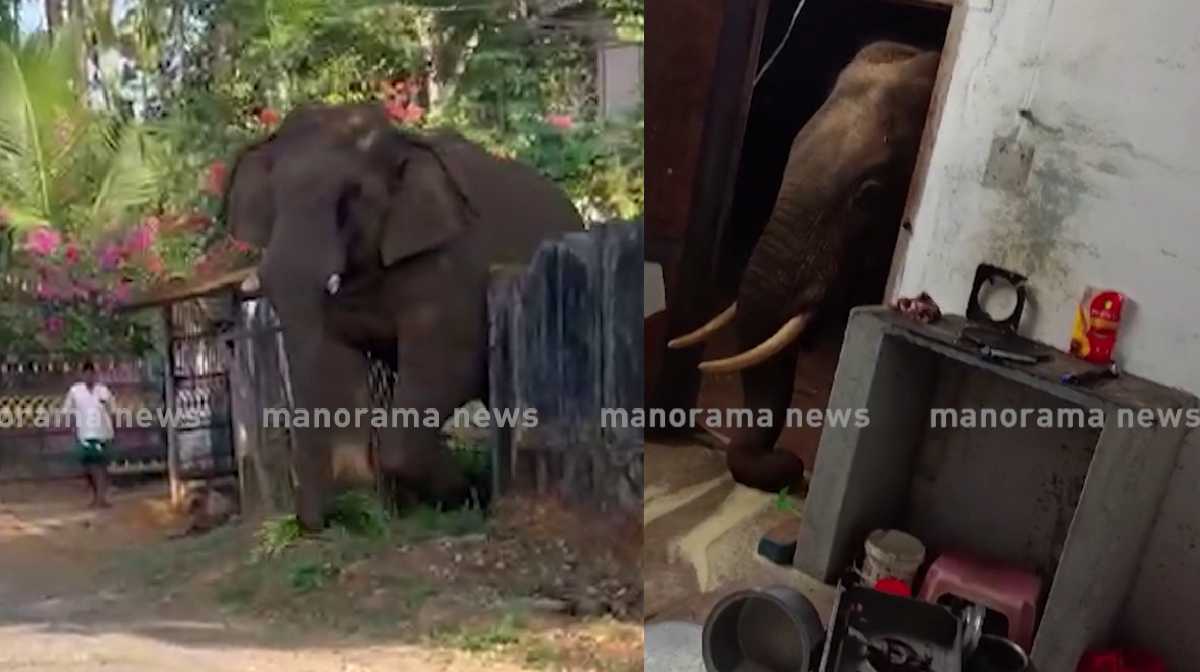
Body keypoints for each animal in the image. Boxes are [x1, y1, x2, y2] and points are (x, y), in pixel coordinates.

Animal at [222, 103, 583, 529]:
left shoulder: (449, 268)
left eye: (352, 196)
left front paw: (467, 496)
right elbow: (334, 364)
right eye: (274, 198)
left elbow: (455, 363)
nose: (311, 525)